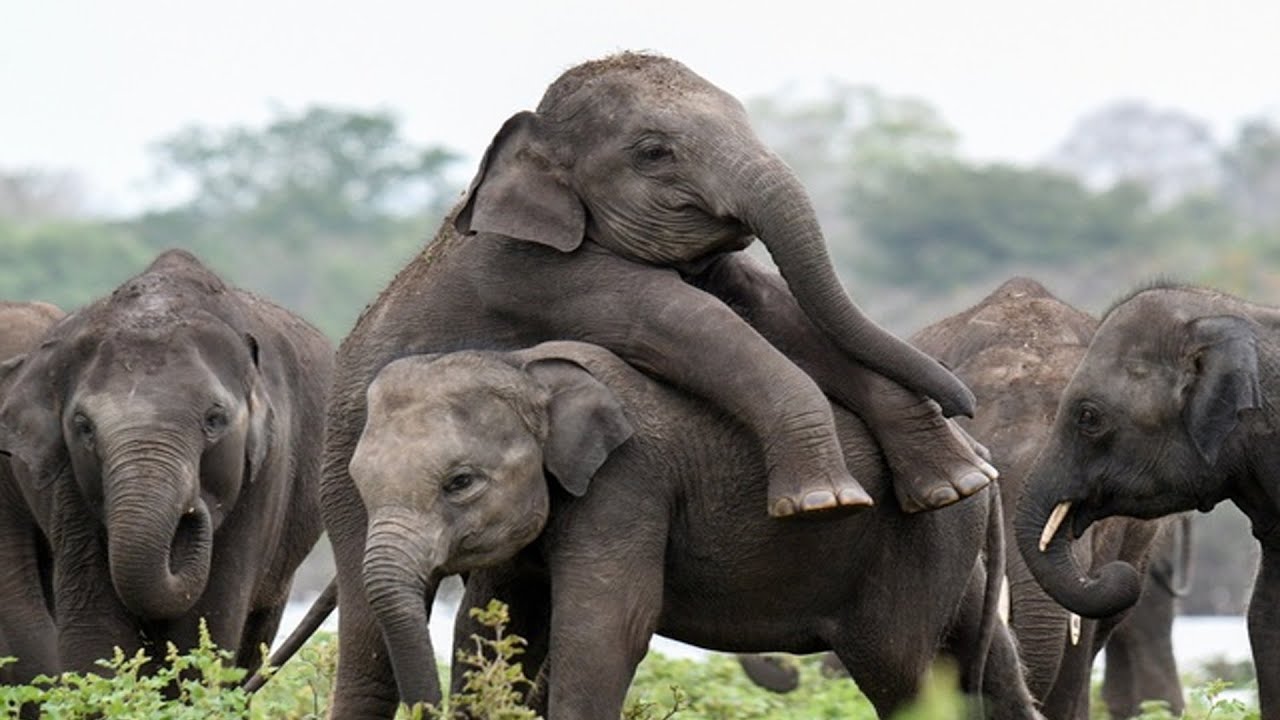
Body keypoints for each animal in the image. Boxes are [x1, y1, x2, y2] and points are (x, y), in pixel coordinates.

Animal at [0, 250, 332, 685]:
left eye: (214, 420)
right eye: (83, 426)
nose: (193, 507)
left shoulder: (267, 473)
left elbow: (206, 624)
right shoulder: (66, 479)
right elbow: (95, 628)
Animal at [344, 340, 1039, 719]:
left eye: (460, 482)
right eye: (357, 481)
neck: (527, 368)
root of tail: (978, 456)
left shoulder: (629, 483)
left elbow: (607, 627)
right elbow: (494, 624)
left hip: (920, 540)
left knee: (899, 672)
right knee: (986, 665)